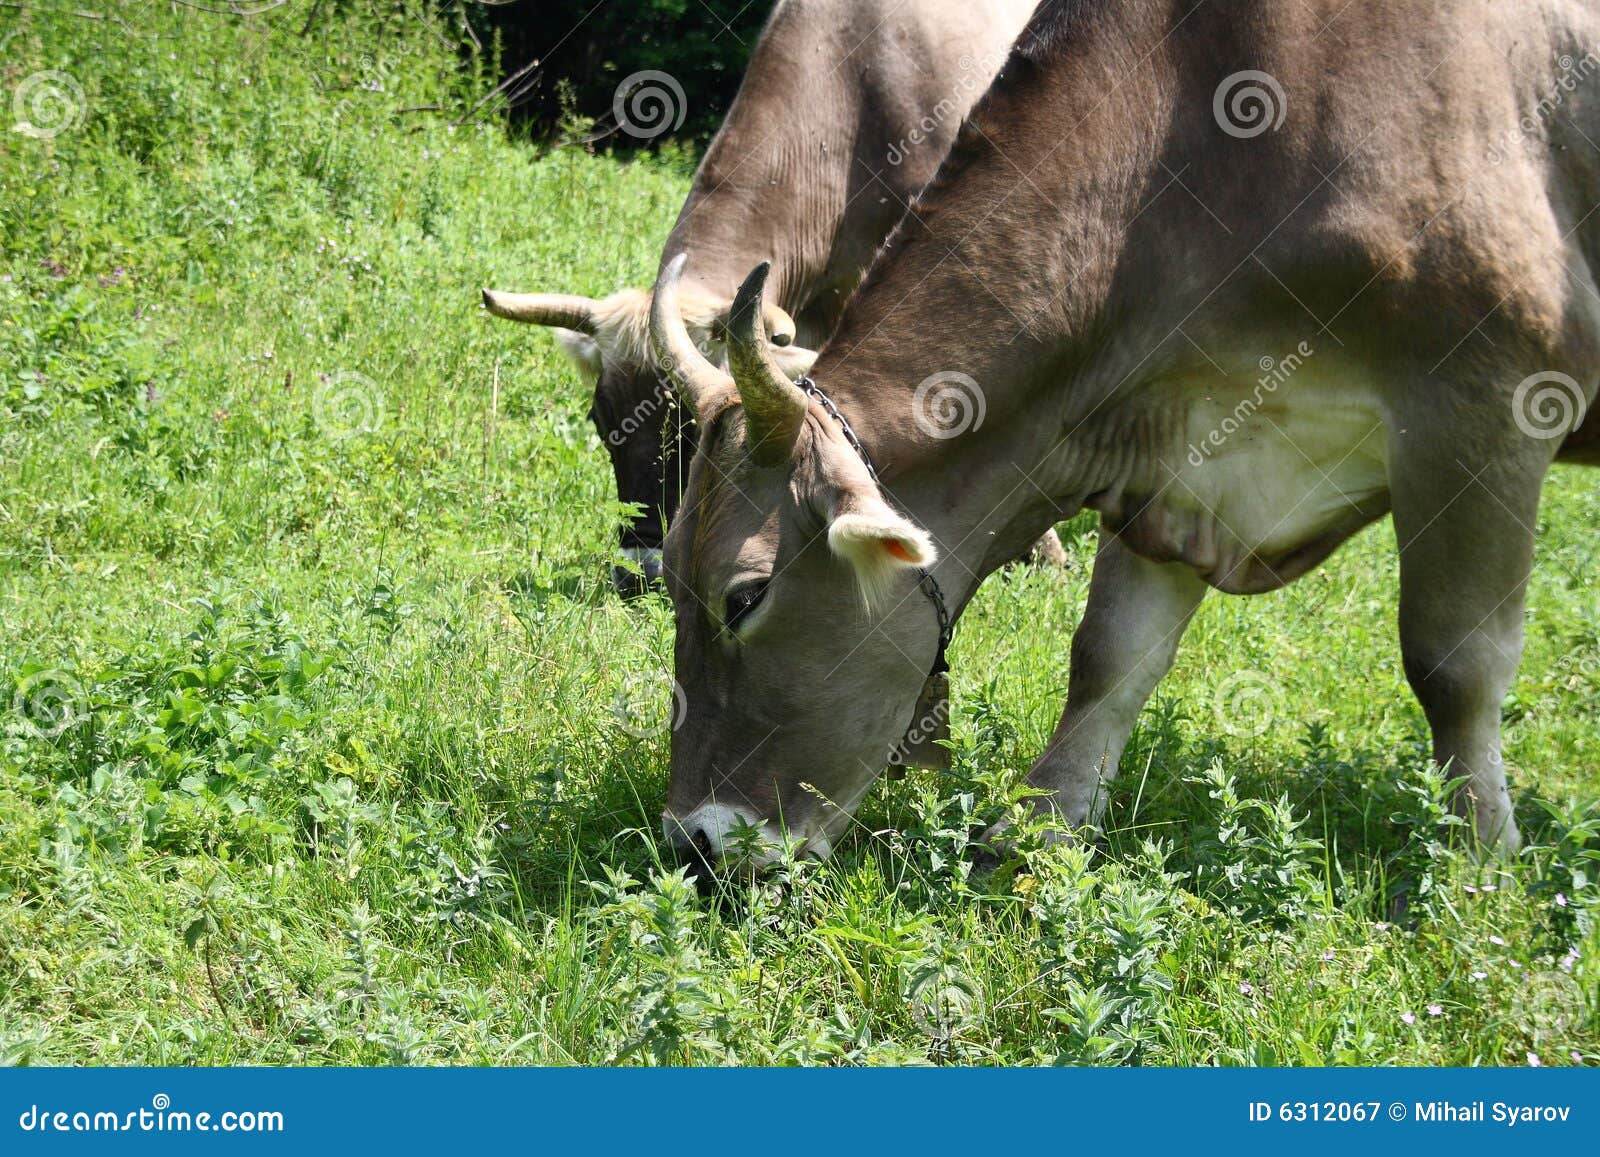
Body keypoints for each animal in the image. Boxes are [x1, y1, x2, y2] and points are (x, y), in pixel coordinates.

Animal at [649, 0, 1600, 874]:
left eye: (744, 596)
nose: (693, 843)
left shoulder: (1483, 399)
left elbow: (1455, 661)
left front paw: (1478, 858)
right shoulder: (1177, 449)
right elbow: (1109, 654)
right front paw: (1039, 828)